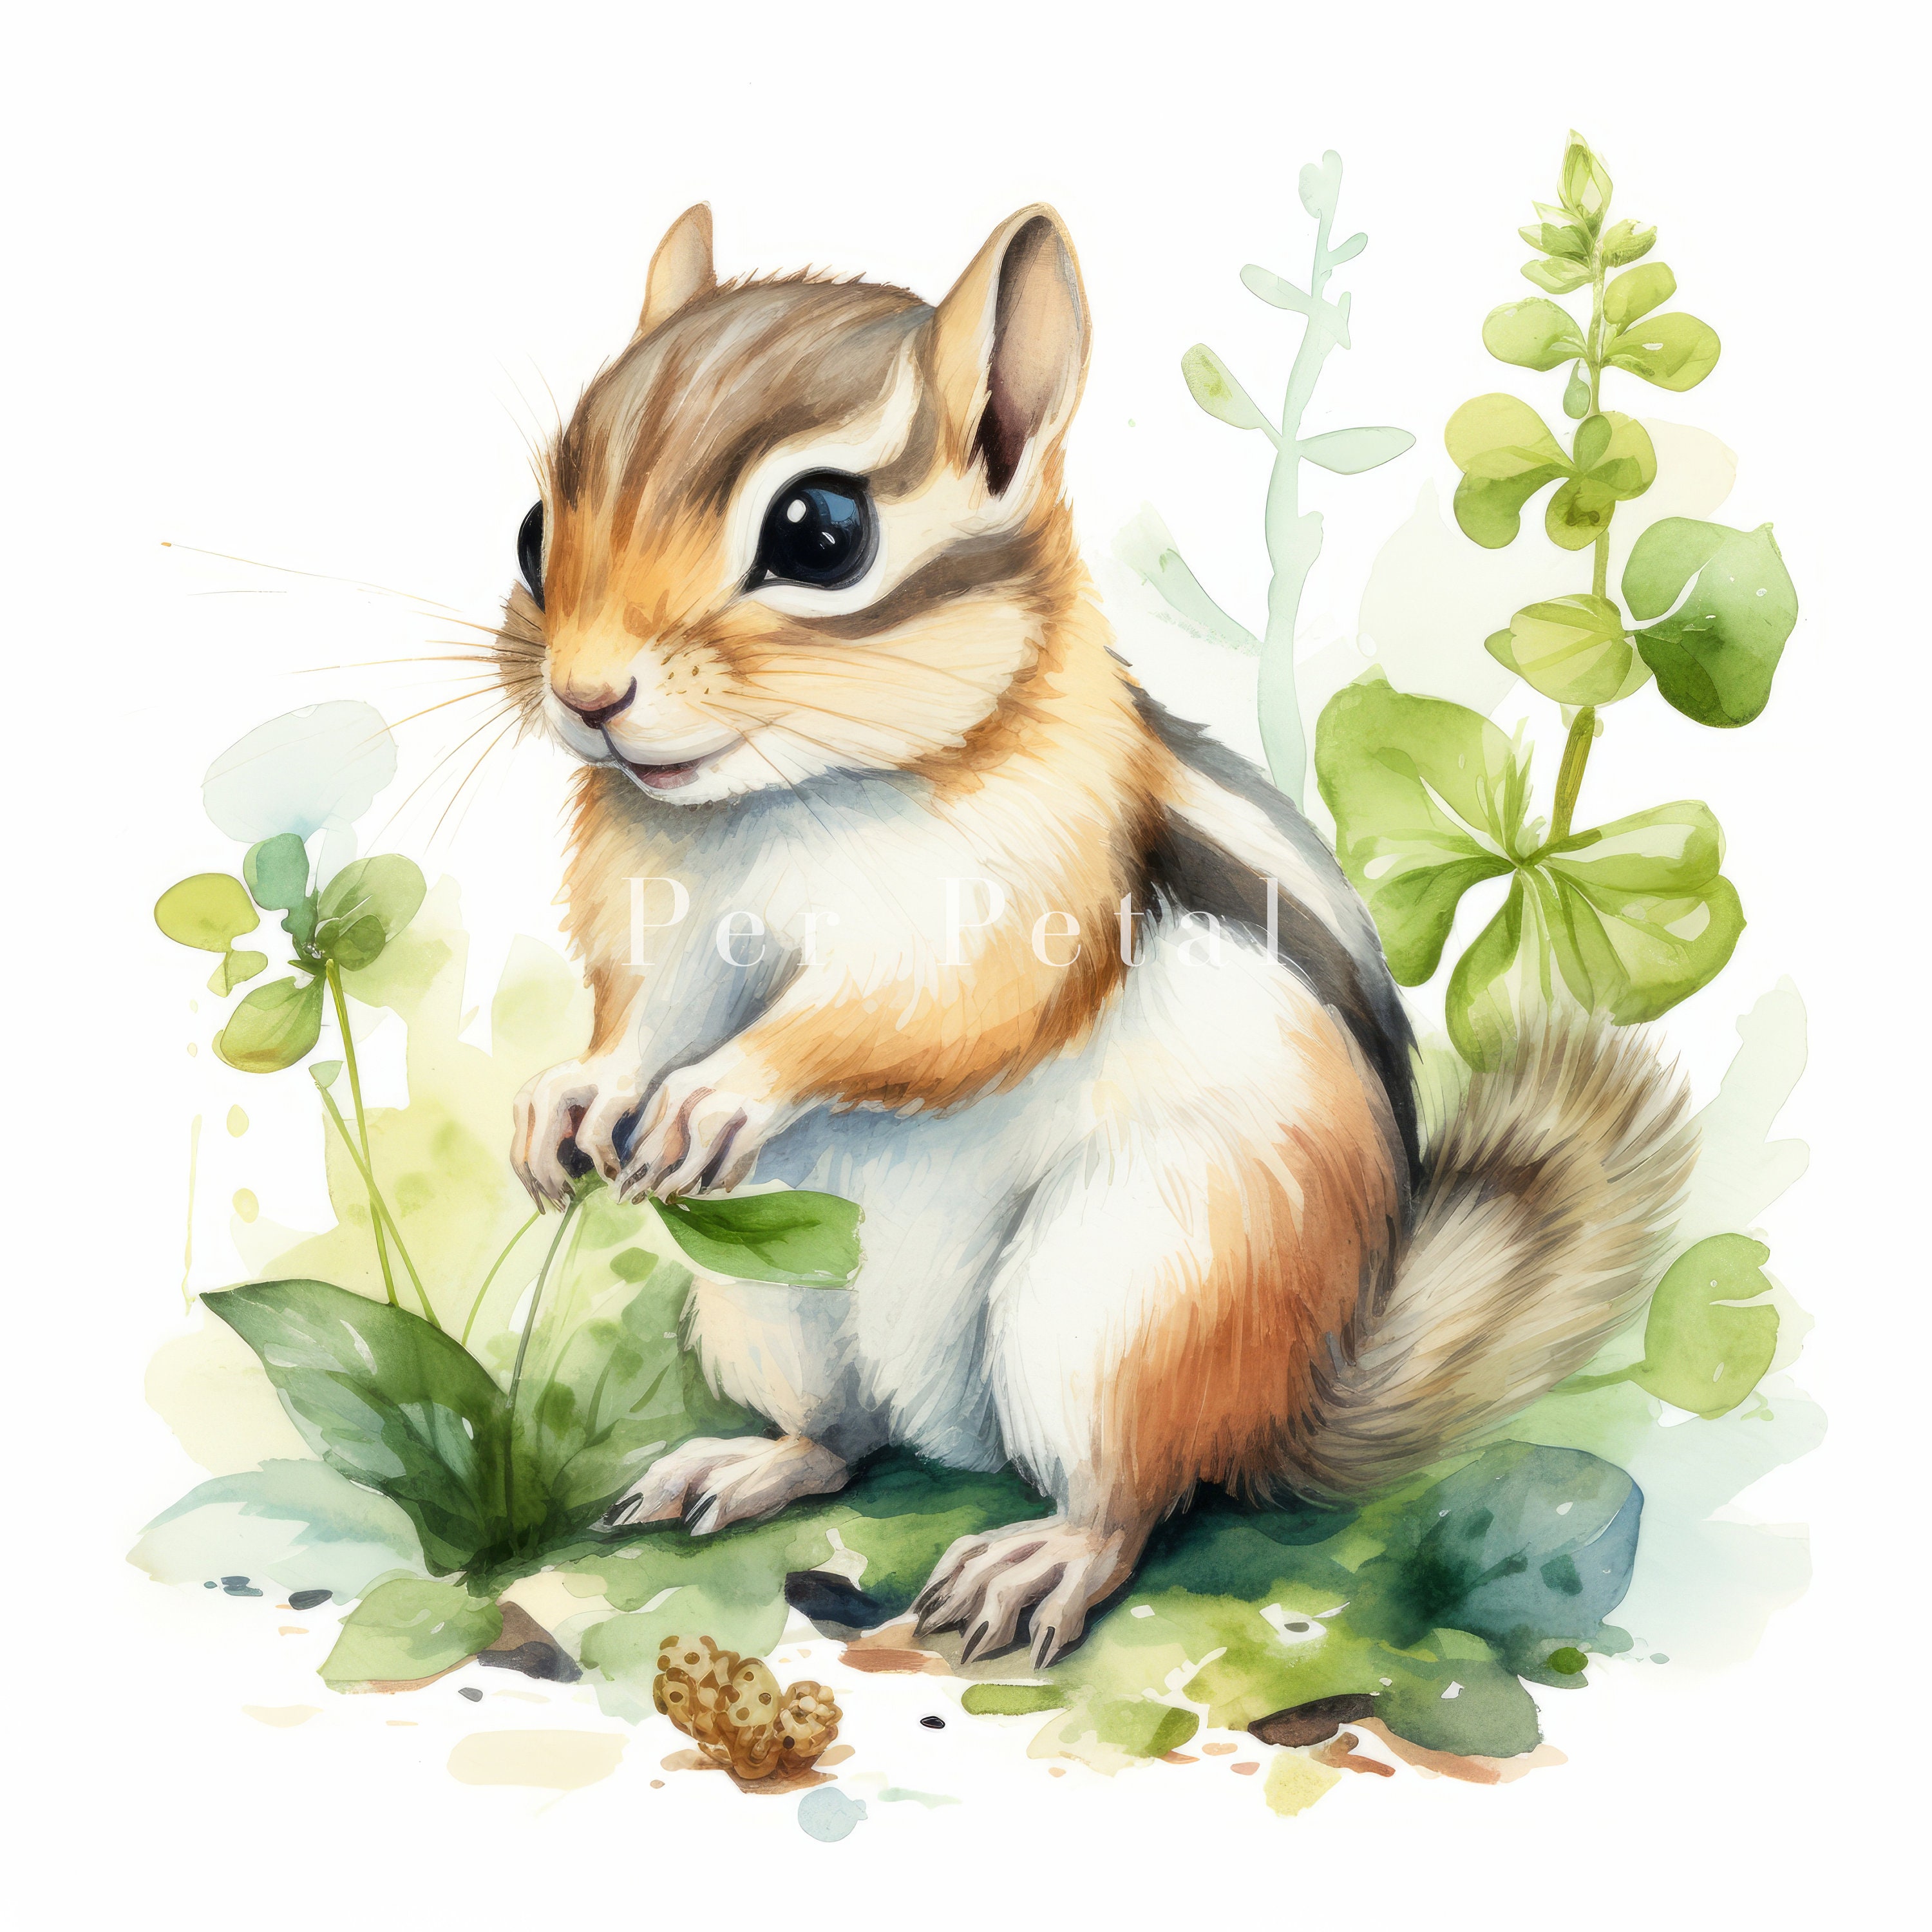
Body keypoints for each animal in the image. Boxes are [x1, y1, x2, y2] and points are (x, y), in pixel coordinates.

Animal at [498, 203, 1694, 1668]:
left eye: (820, 533)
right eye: (533, 531)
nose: (587, 695)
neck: (782, 804)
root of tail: (1294, 1400)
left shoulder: (1018, 900)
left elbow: (928, 1015)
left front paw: (726, 1093)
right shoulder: (664, 930)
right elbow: (642, 1020)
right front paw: (569, 1100)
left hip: (1130, 1294)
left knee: (1132, 1497)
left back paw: (1039, 1558)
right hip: (772, 1303)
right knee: (840, 1438)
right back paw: (741, 1463)